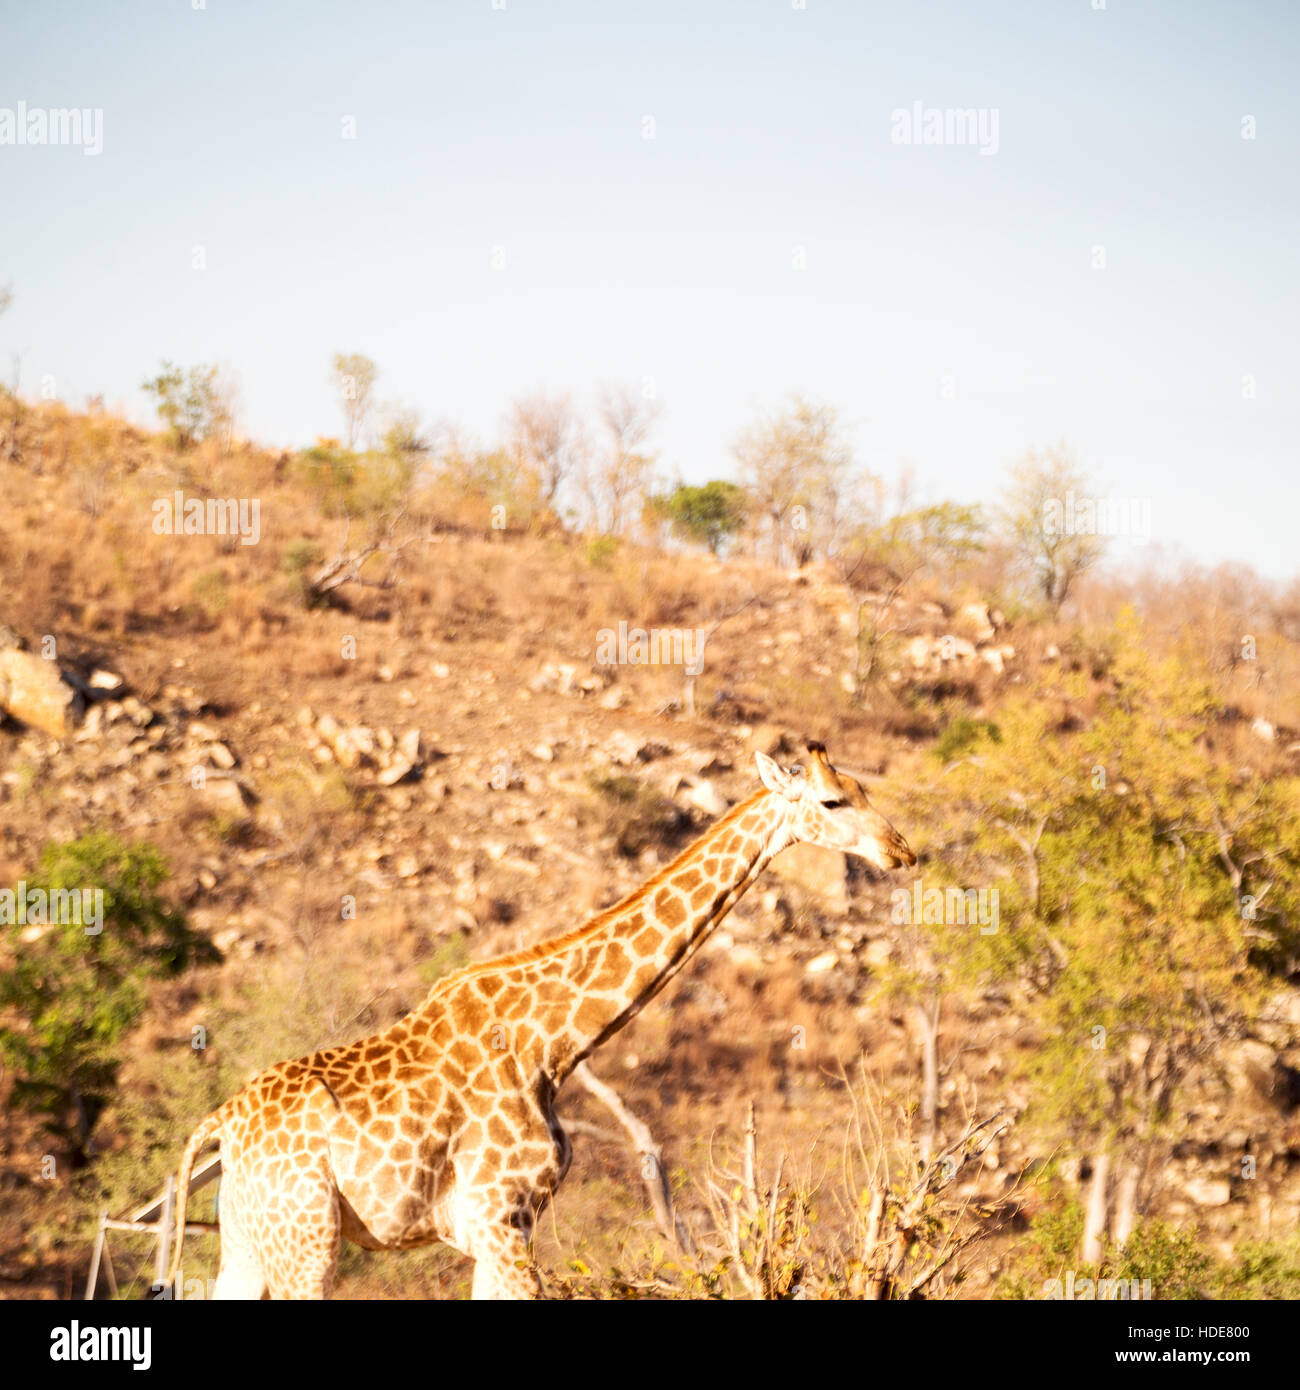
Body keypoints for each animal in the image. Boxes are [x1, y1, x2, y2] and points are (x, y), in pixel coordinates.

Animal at [165, 741, 915, 1299]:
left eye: (865, 789)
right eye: (831, 800)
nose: (903, 851)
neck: (553, 1045)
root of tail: (222, 1124)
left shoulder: (494, 1231)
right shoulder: (504, 1219)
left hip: (248, 1242)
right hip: (307, 1240)